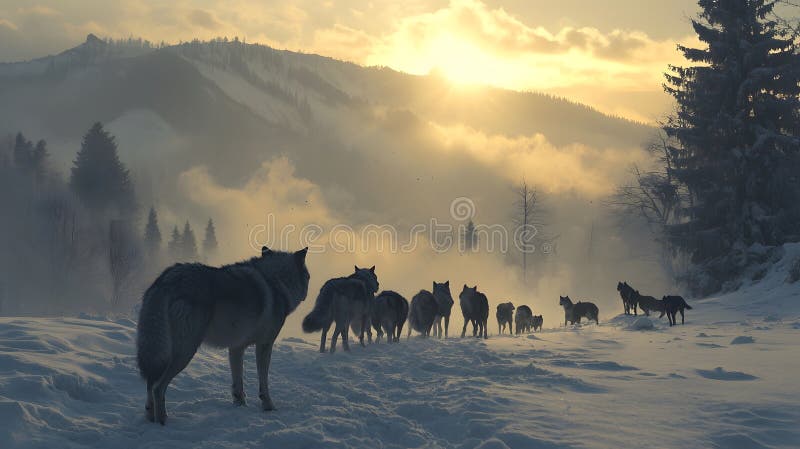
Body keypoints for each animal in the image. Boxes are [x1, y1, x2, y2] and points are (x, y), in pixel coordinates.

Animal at [136, 246, 310, 425]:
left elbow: (238, 385)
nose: (307, 294)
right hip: (185, 352)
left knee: (150, 382)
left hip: (159, 351)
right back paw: (162, 421)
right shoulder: (264, 345)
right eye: (309, 276)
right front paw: (269, 407)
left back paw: (150, 419)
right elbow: (263, 383)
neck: (274, 282)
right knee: (157, 387)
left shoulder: (236, 348)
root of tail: (167, 280)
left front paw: (240, 407)